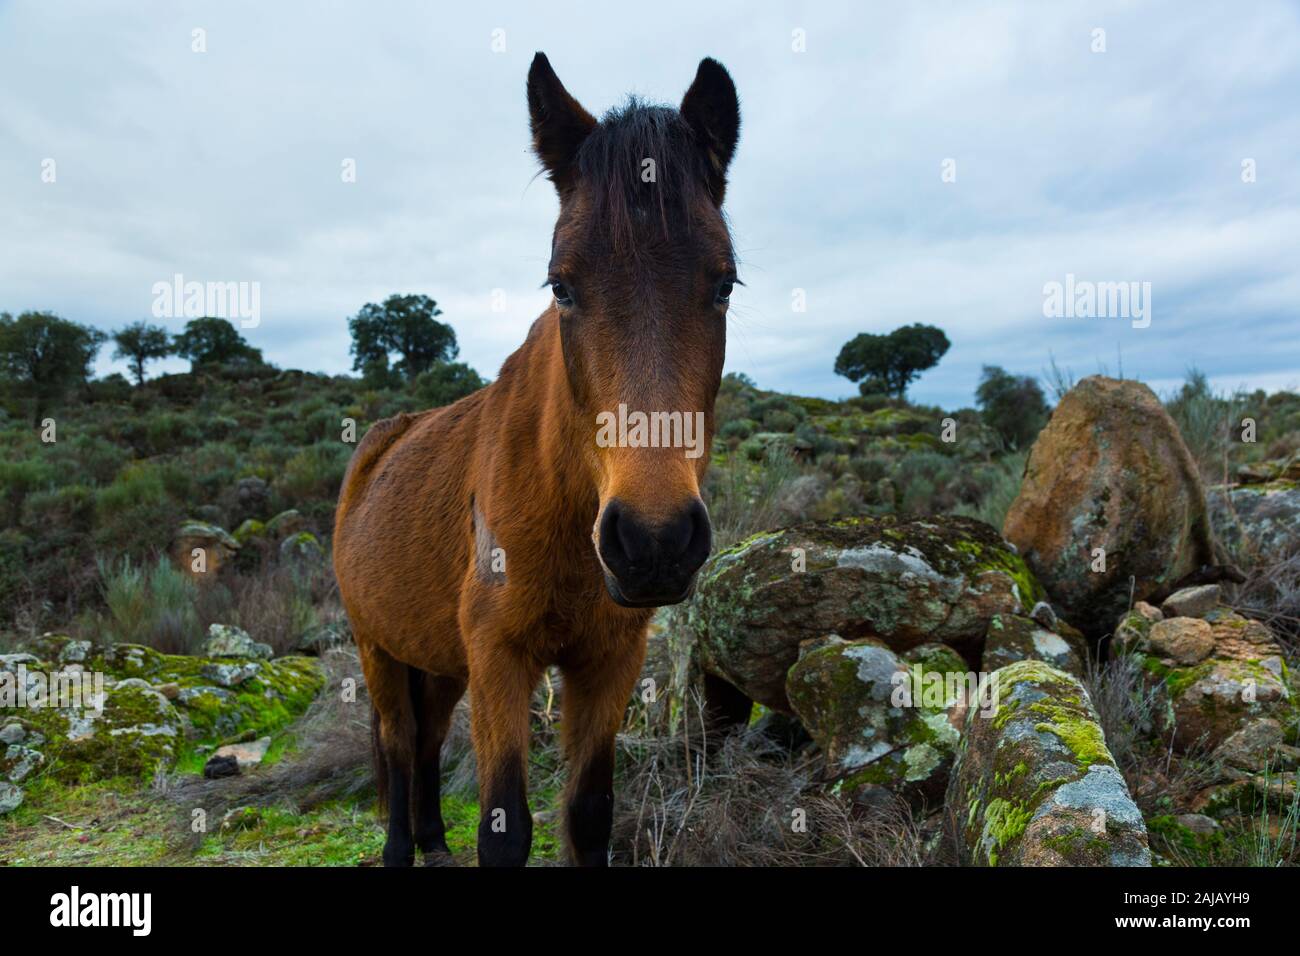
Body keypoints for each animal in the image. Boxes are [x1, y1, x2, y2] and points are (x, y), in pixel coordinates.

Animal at [333, 52, 741, 867]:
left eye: (723, 283)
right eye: (562, 286)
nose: (653, 542)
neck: (562, 497)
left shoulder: (609, 660)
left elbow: (588, 814)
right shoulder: (500, 657)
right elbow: (505, 826)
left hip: (437, 660)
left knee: (426, 743)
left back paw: (434, 843)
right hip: (377, 649)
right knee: (397, 743)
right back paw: (401, 850)